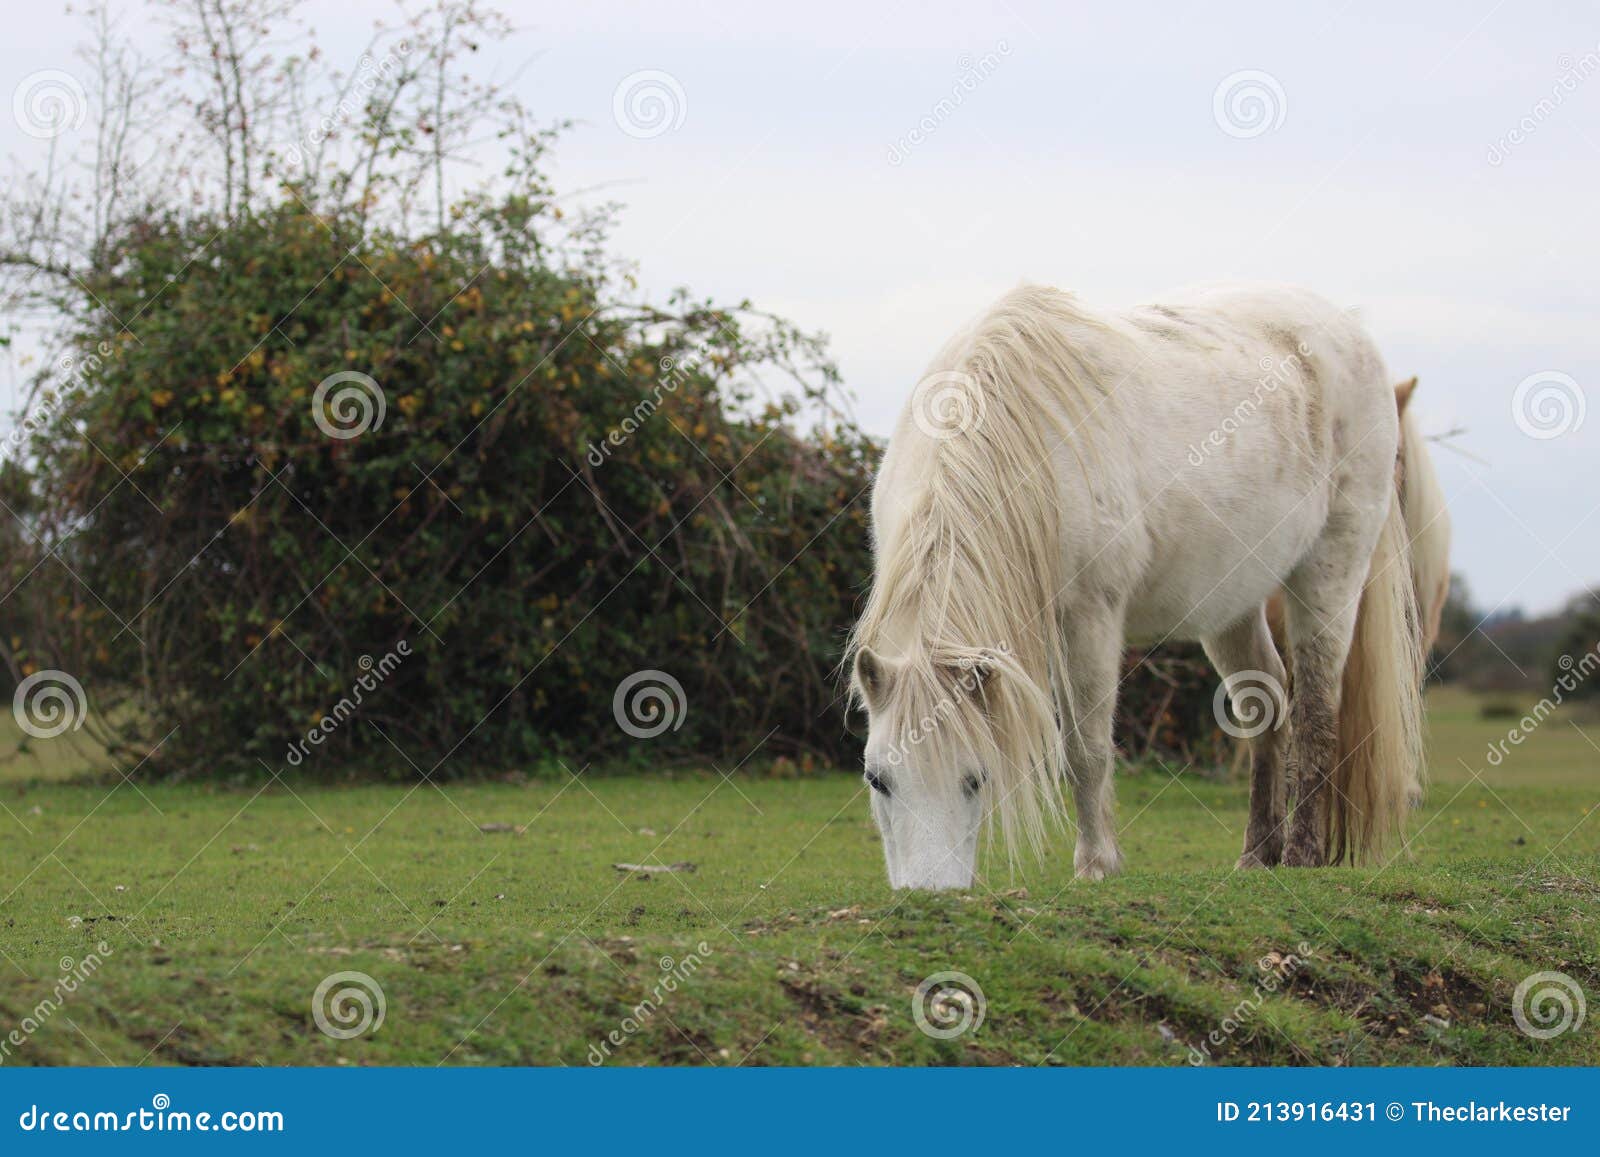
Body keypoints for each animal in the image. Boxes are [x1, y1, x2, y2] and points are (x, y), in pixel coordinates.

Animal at [848, 283, 1425, 890]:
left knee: (1316, 711)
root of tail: (1349, 331)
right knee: (1266, 705)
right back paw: (1256, 855)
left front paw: (1096, 864)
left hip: (1330, 572)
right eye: (877, 779)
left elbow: (1086, 750)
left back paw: (1300, 855)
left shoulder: (1089, 619)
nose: (928, 894)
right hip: (1232, 605)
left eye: (977, 778)